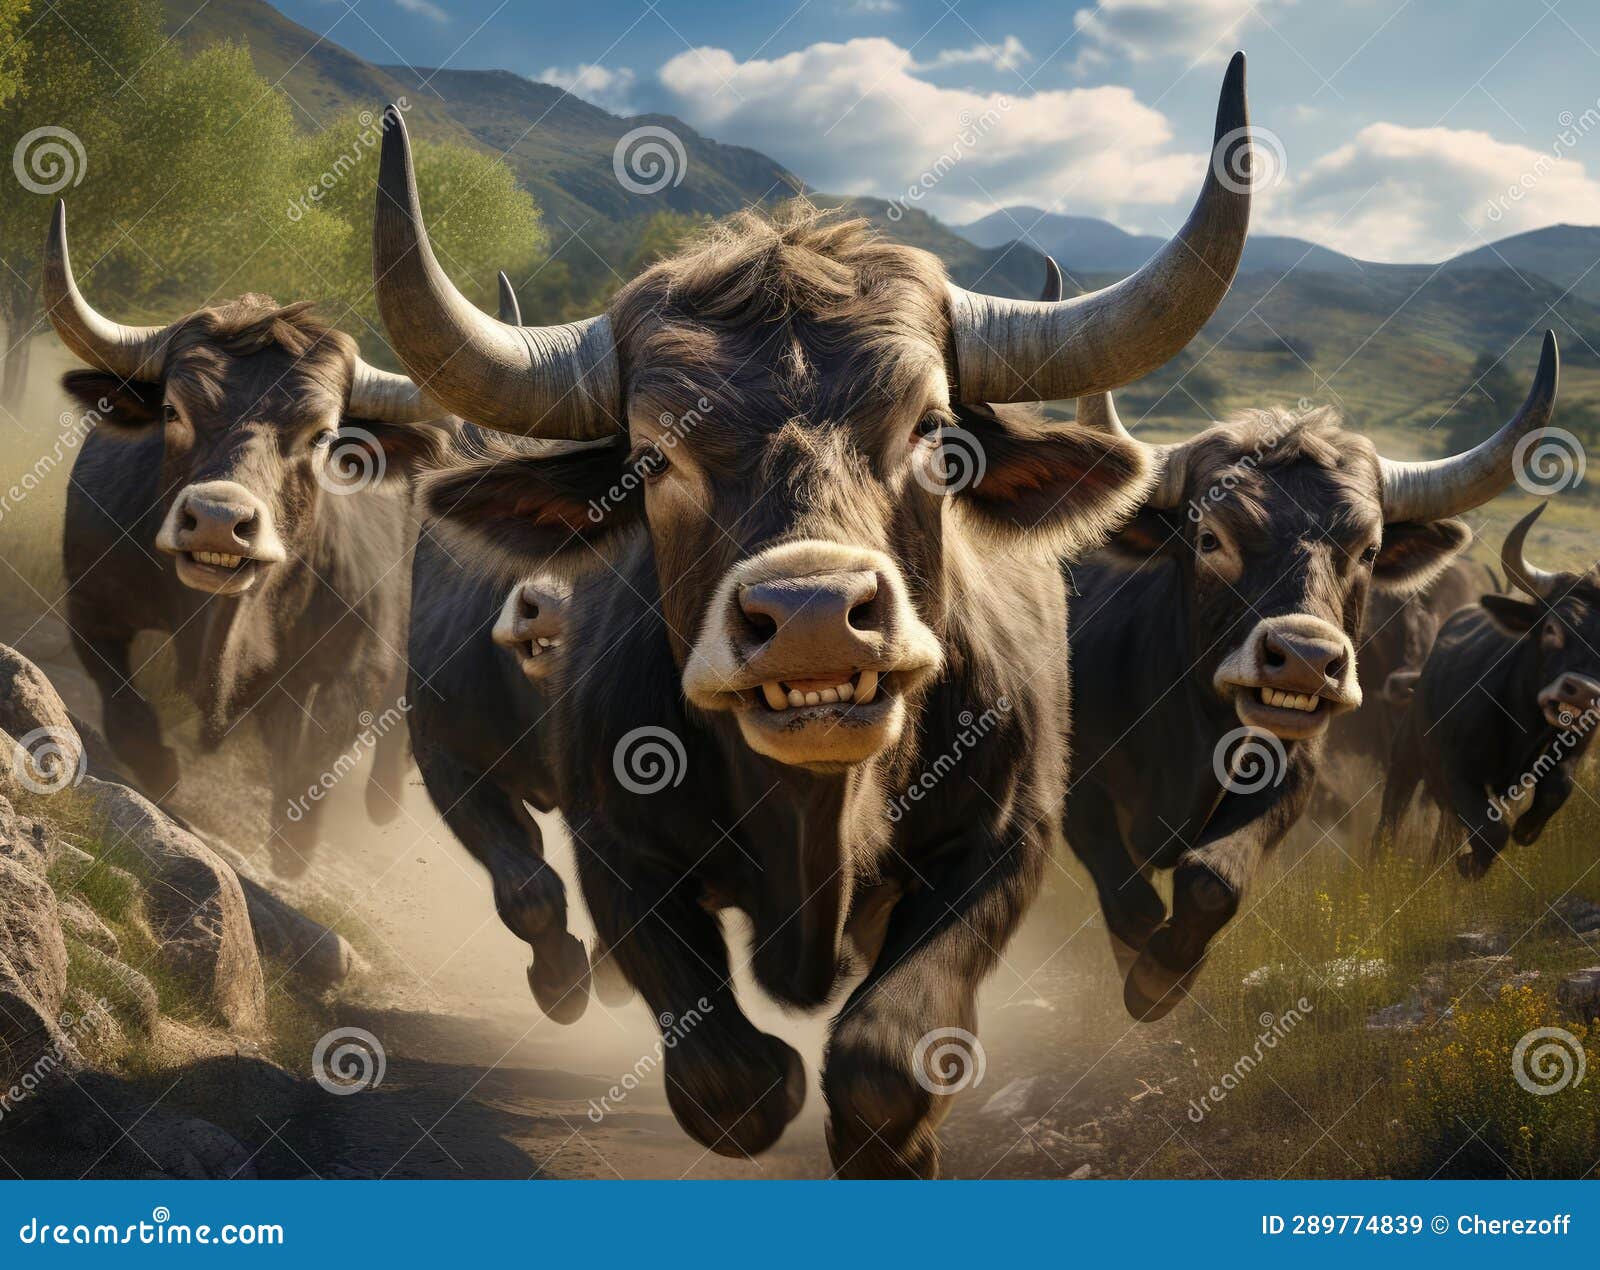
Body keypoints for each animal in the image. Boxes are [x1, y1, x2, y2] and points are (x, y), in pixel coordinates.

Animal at [43, 200, 454, 876]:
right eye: (173, 411)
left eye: (322, 435)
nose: (217, 518)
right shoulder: (91, 602)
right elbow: (121, 702)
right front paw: (161, 768)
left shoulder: (359, 664)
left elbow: (313, 756)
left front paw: (296, 839)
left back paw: (382, 802)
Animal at [369, 53, 1255, 1177]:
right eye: (652, 456)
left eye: (934, 432)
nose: (813, 615)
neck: (814, 815)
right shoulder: (604, 837)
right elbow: (726, 1078)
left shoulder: (1009, 838)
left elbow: (887, 1057)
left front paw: (898, 1138)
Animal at [1063, 343, 1558, 1023]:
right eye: (1209, 536)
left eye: (1368, 550)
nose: (1303, 658)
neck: (1190, 723)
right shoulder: (1072, 789)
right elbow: (1131, 901)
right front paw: (1145, 979)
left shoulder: (1293, 776)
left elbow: (1212, 881)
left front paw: (1164, 975)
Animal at [1378, 504, 1600, 876]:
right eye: (1552, 627)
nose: (1581, 690)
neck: (1523, 724)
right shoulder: (1456, 773)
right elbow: (1492, 831)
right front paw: (1469, 864)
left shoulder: (1575, 747)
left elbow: (1558, 786)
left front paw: (1525, 830)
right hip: (1405, 753)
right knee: (1392, 814)